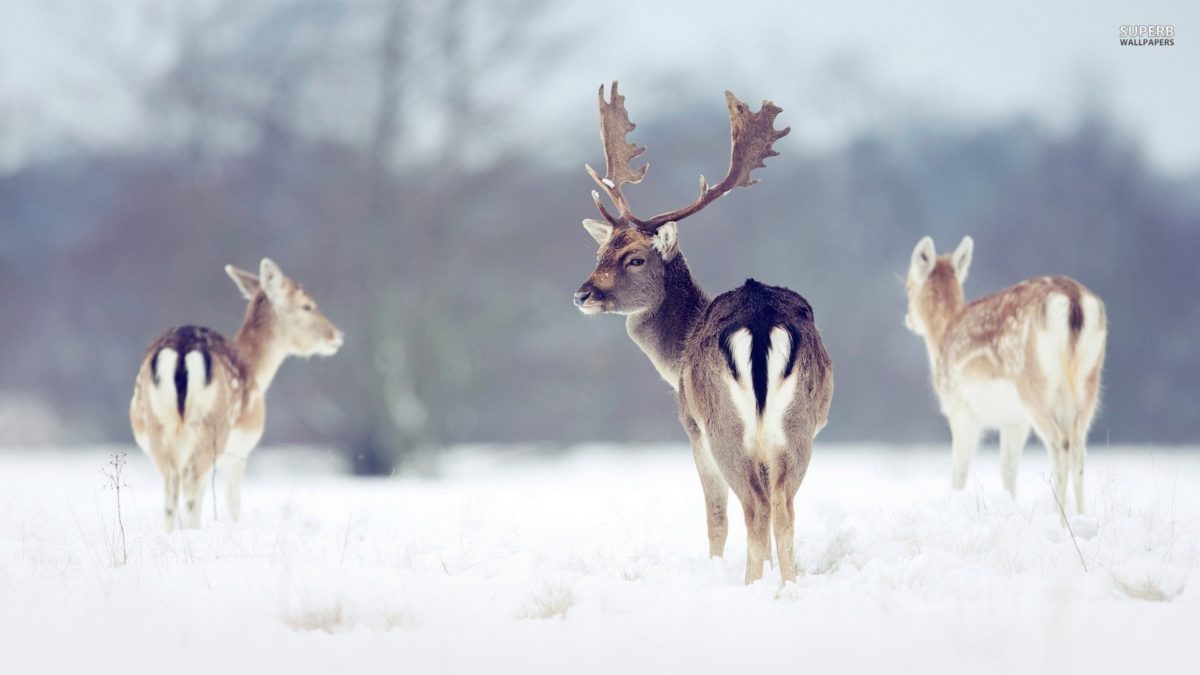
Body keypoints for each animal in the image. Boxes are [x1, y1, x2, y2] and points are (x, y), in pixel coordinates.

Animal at [129, 258, 343, 532]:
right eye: (307, 305)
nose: (336, 335)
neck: (256, 370)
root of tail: (182, 350)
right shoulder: (240, 451)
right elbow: (233, 502)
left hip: (157, 423)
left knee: (171, 486)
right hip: (213, 427)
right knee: (191, 481)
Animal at [572, 82, 833, 584]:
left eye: (635, 258)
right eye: (600, 251)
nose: (582, 293)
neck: (676, 355)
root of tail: (760, 318)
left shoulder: (692, 428)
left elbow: (715, 516)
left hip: (723, 425)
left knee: (753, 507)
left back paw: (750, 585)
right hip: (799, 427)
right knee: (783, 507)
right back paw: (786, 587)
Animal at [904, 236, 1106, 519]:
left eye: (908, 286)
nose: (908, 318)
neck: (942, 336)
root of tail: (1074, 301)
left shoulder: (960, 406)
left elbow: (959, 470)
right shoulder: (1014, 421)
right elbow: (1008, 471)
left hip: (1034, 385)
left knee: (1060, 444)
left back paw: (1060, 517)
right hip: (1088, 381)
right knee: (1079, 447)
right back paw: (1081, 517)